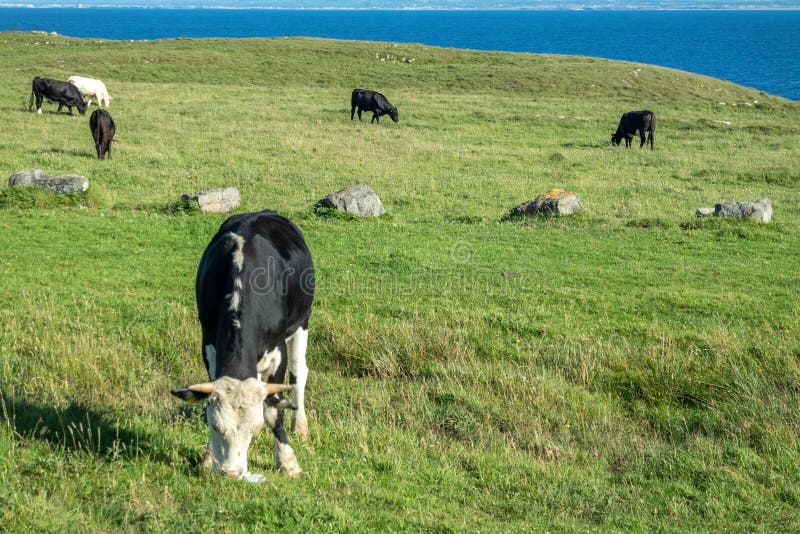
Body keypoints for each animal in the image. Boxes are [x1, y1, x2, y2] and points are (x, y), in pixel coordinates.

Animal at [171, 210, 314, 482]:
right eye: (215, 426)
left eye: (254, 428)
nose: (231, 472)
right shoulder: (208, 343)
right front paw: (208, 457)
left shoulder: (277, 351)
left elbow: (273, 411)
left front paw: (287, 461)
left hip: (303, 321)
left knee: (299, 374)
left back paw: (300, 425)